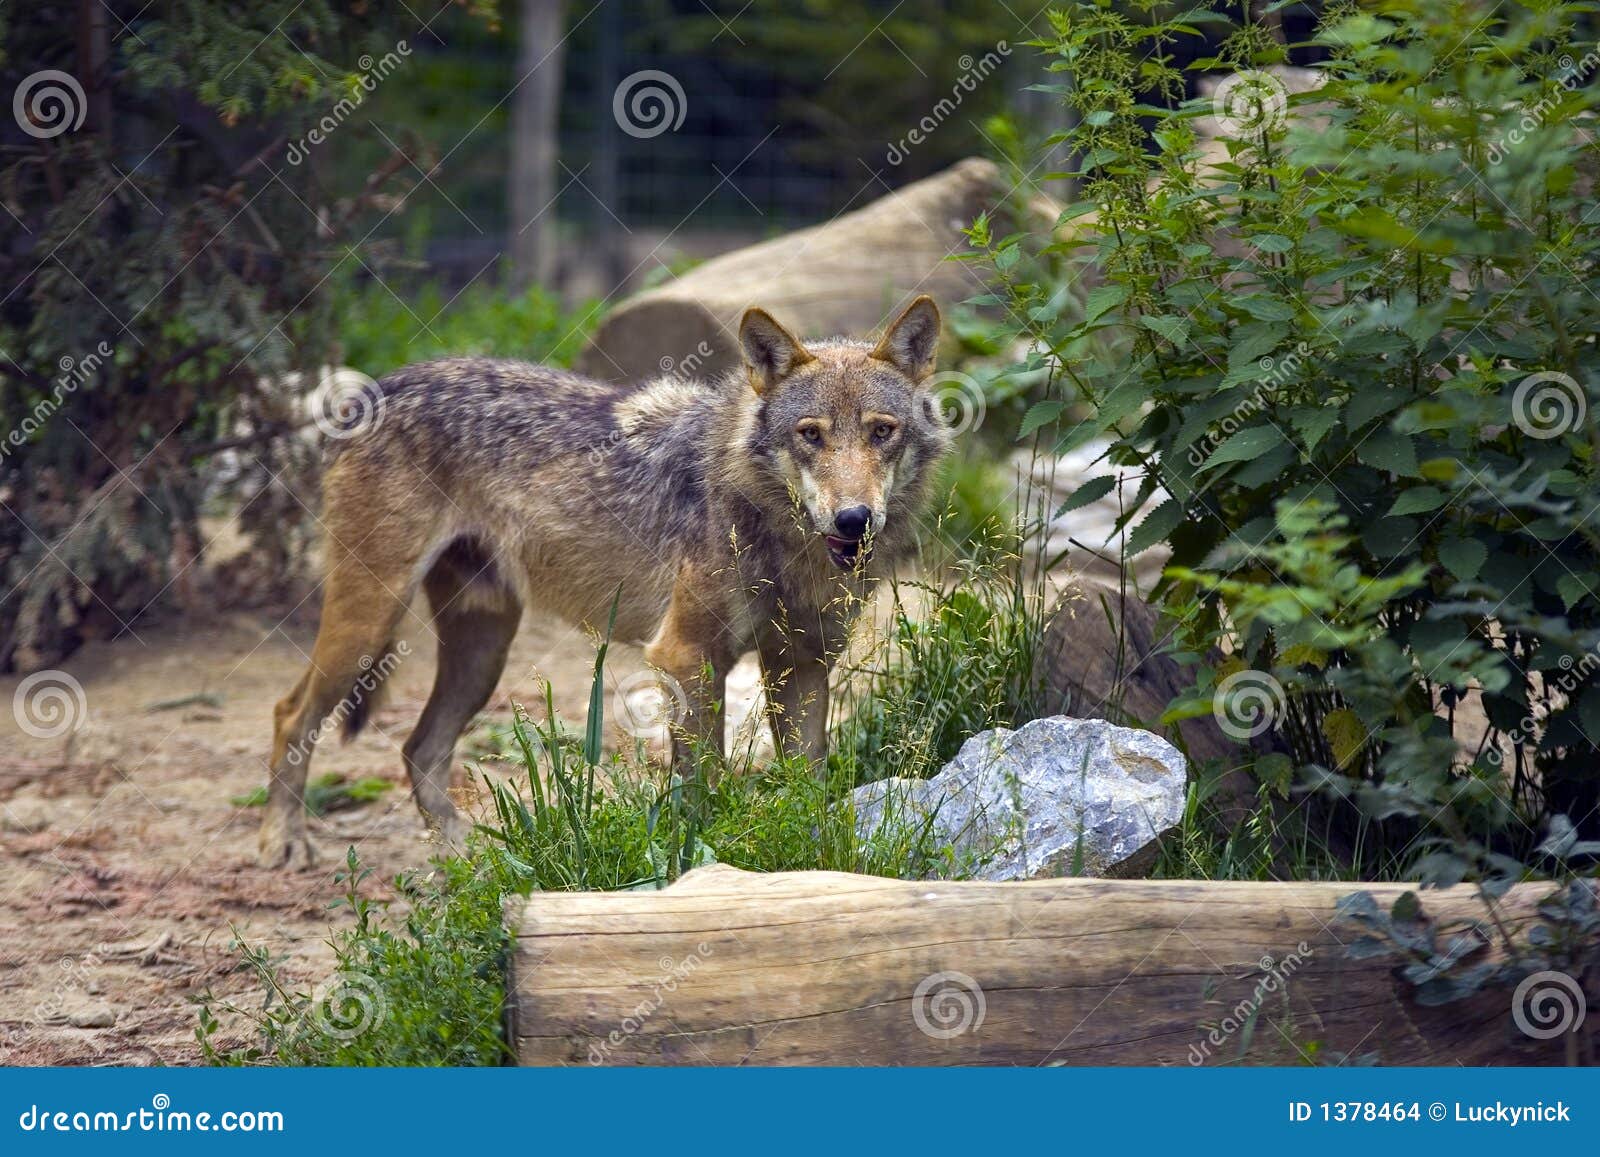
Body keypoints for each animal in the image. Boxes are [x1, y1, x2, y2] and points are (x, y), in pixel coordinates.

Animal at [260, 296, 950, 868]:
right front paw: (705, 860)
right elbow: (704, 786)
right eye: (811, 435)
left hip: (482, 652)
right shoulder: (687, 657)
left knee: (418, 748)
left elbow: (809, 784)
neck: (777, 530)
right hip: (370, 624)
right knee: (291, 713)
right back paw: (284, 845)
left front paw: (815, 861)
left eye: (881, 432)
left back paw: (469, 861)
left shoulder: (802, 664)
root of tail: (383, 385)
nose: (854, 519)